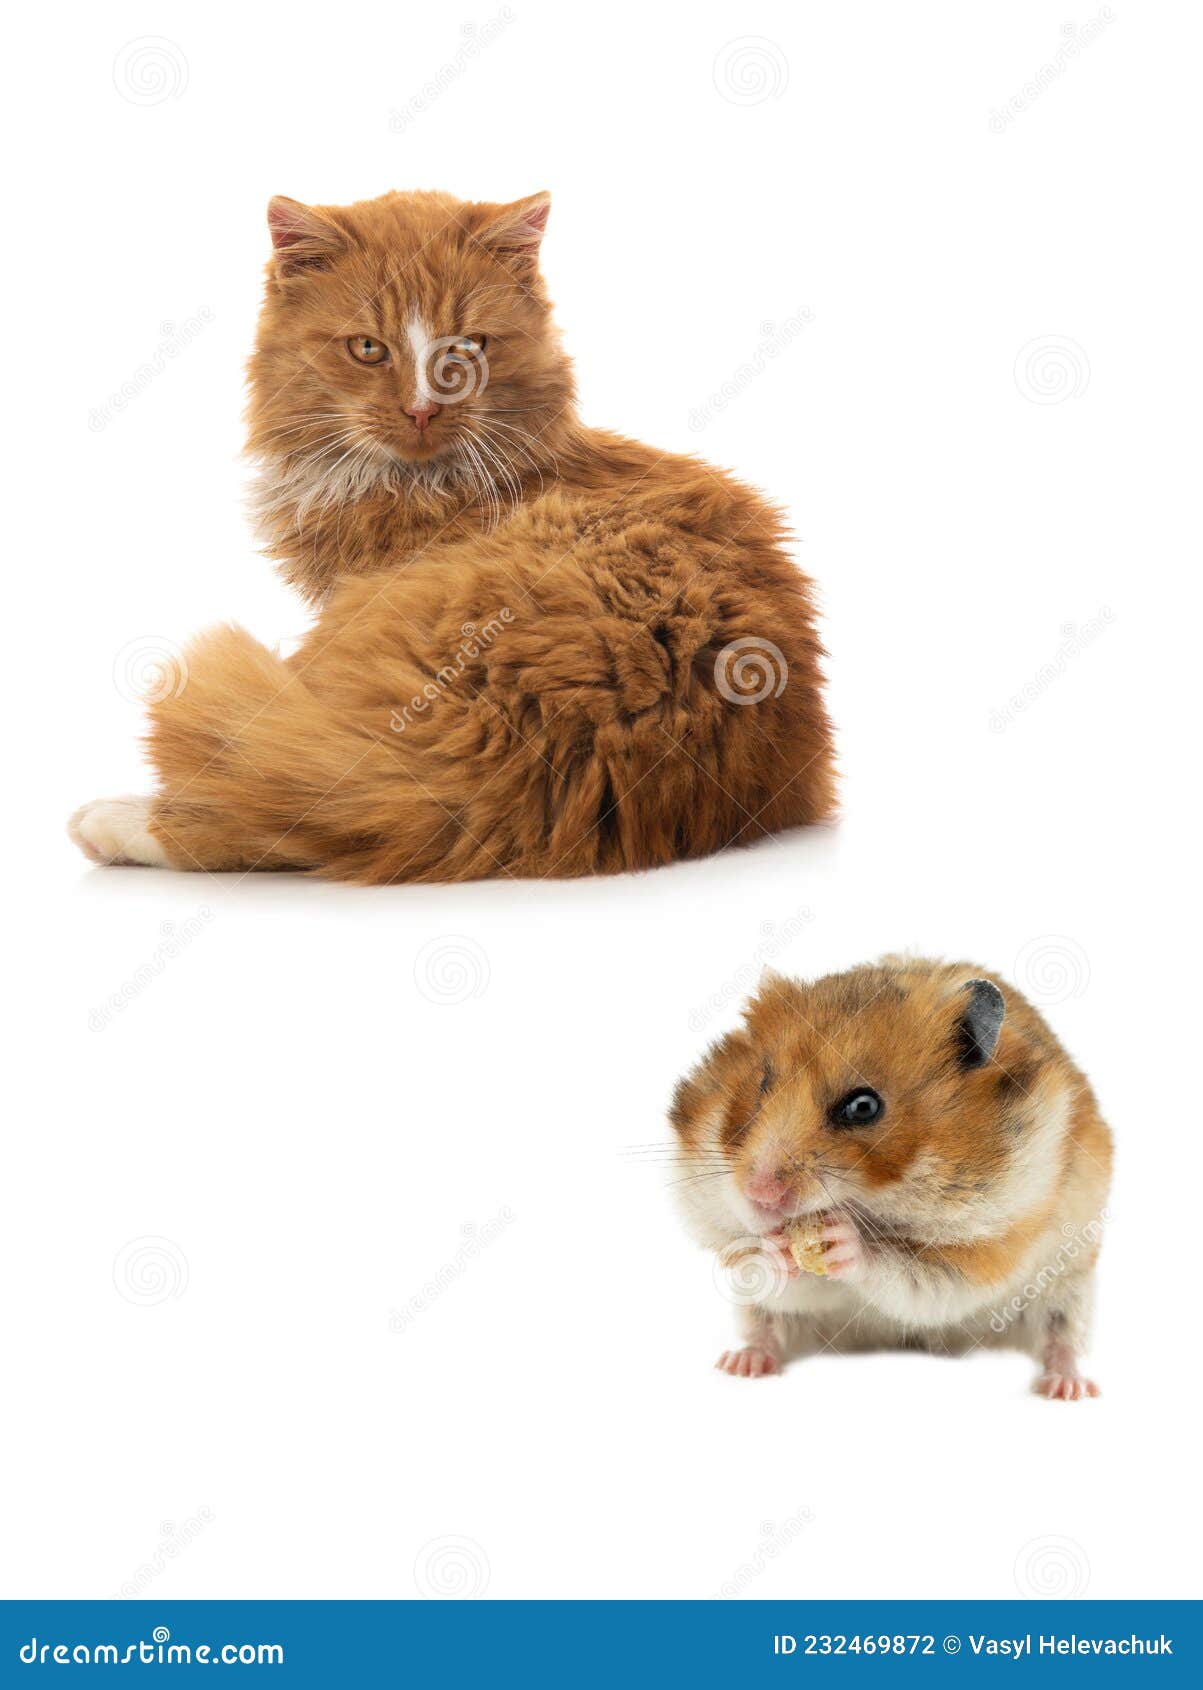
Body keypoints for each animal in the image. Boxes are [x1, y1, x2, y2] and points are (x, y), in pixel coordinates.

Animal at [669, 956, 1112, 1400]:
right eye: (761, 1084)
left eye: (864, 1106)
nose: (758, 1194)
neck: (883, 1198)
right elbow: (769, 1272)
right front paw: (775, 1245)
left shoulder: (986, 1250)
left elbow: (908, 1272)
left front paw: (842, 1240)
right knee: (765, 1326)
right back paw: (741, 1364)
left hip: (1070, 1286)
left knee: (1061, 1337)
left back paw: (1067, 1387)